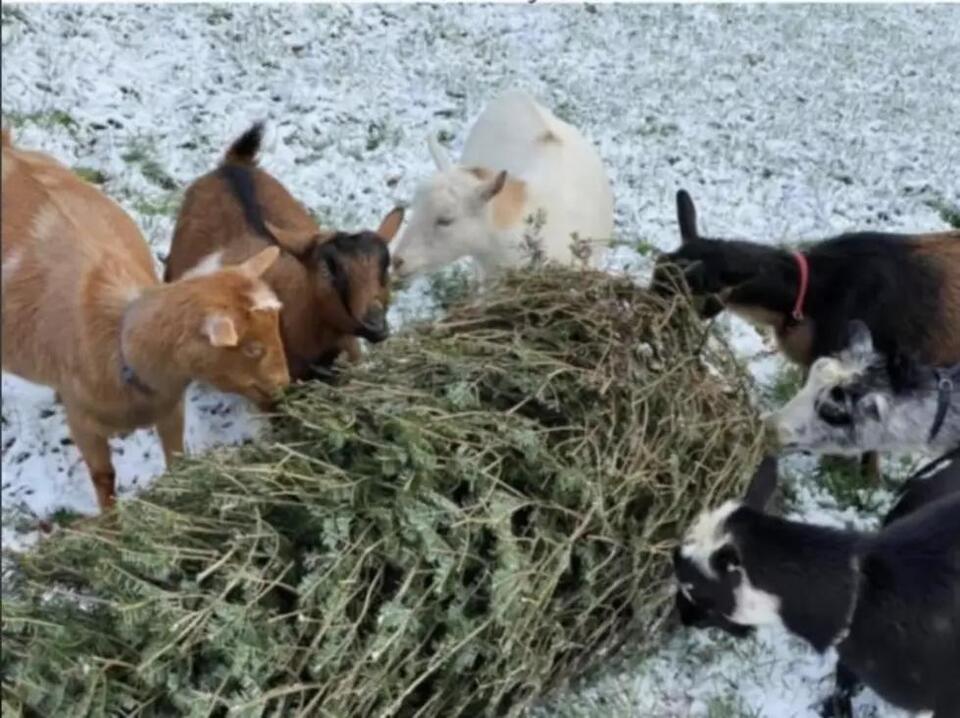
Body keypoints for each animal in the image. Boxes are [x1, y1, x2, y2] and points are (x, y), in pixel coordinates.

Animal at [2, 129, 290, 511]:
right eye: (251, 348)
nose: (285, 382)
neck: (122, 343)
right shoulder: (83, 424)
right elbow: (104, 478)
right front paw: (112, 522)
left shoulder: (170, 407)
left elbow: (176, 458)